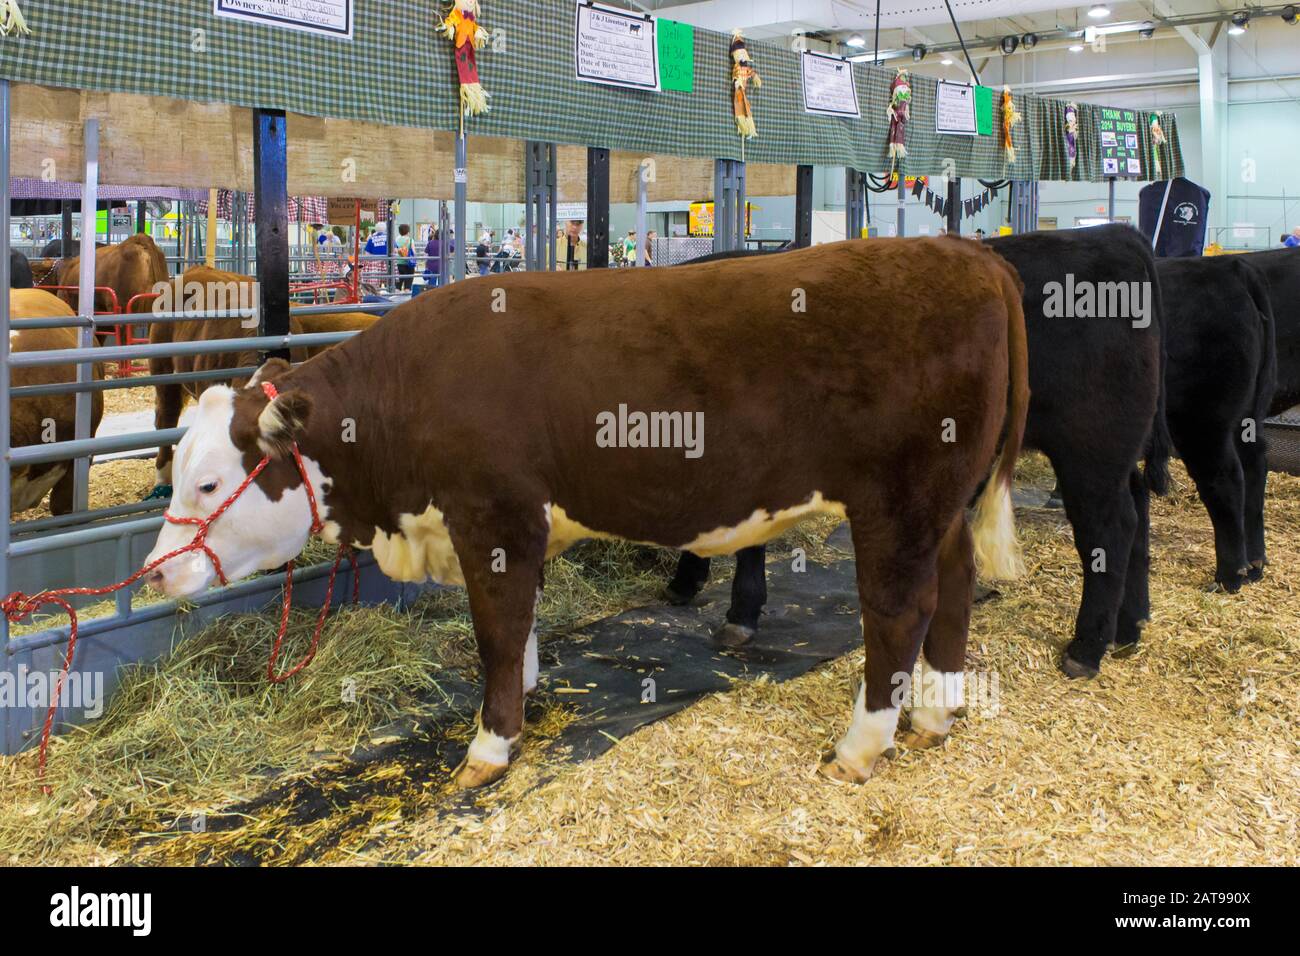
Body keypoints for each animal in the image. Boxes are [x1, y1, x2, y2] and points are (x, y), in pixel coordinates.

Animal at [143, 238, 1030, 788]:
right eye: (178, 470)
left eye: (210, 485)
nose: (155, 573)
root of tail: (968, 254)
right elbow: (523, 621)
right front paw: (527, 695)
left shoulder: (494, 516)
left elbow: (497, 631)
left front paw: (491, 743)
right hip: (944, 502)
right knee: (955, 583)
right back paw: (936, 712)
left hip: (899, 502)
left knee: (899, 608)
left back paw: (863, 743)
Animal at [666, 225, 1170, 679]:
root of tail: (1117, 235)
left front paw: (727, 605)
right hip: (1120, 448)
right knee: (1138, 508)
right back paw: (1129, 628)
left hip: (1092, 448)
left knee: (1110, 529)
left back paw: (1086, 649)